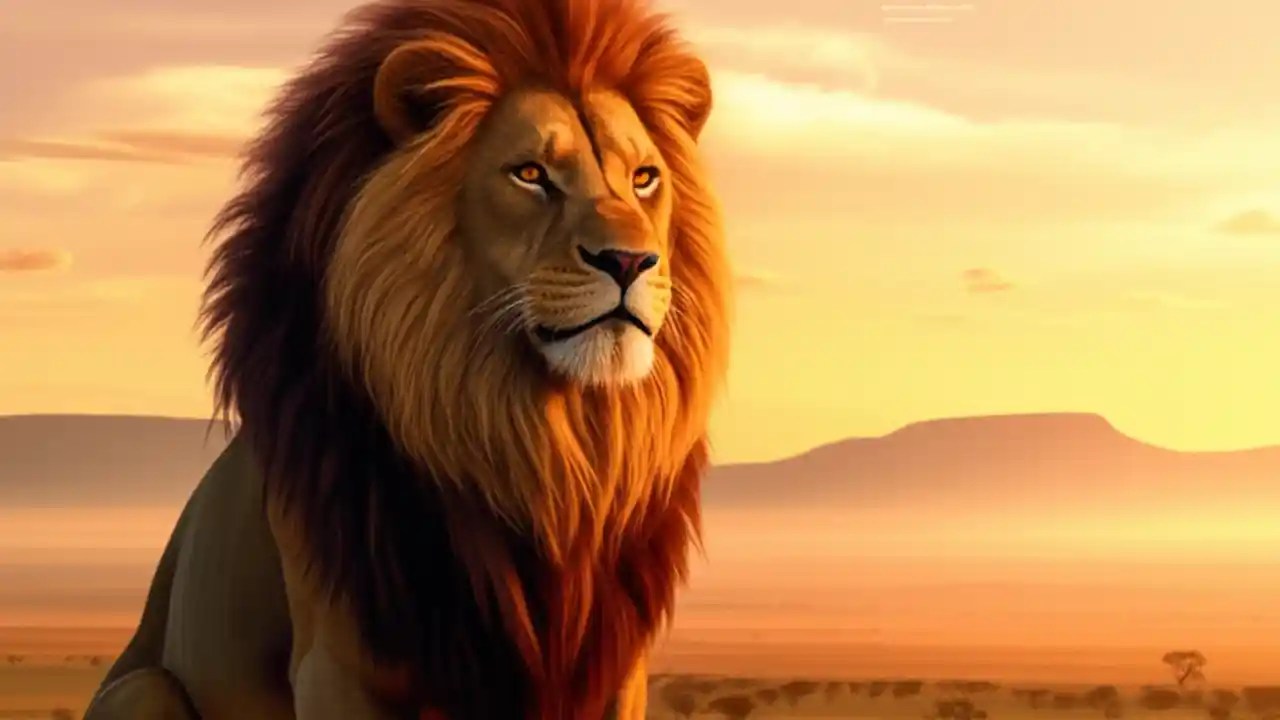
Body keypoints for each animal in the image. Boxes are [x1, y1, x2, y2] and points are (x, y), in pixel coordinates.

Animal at [83, 0, 730, 718]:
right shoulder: (336, 665)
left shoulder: (616, 669)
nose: (630, 260)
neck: (539, 452)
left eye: (644, 179)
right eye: (531, 173)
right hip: (145, 688)